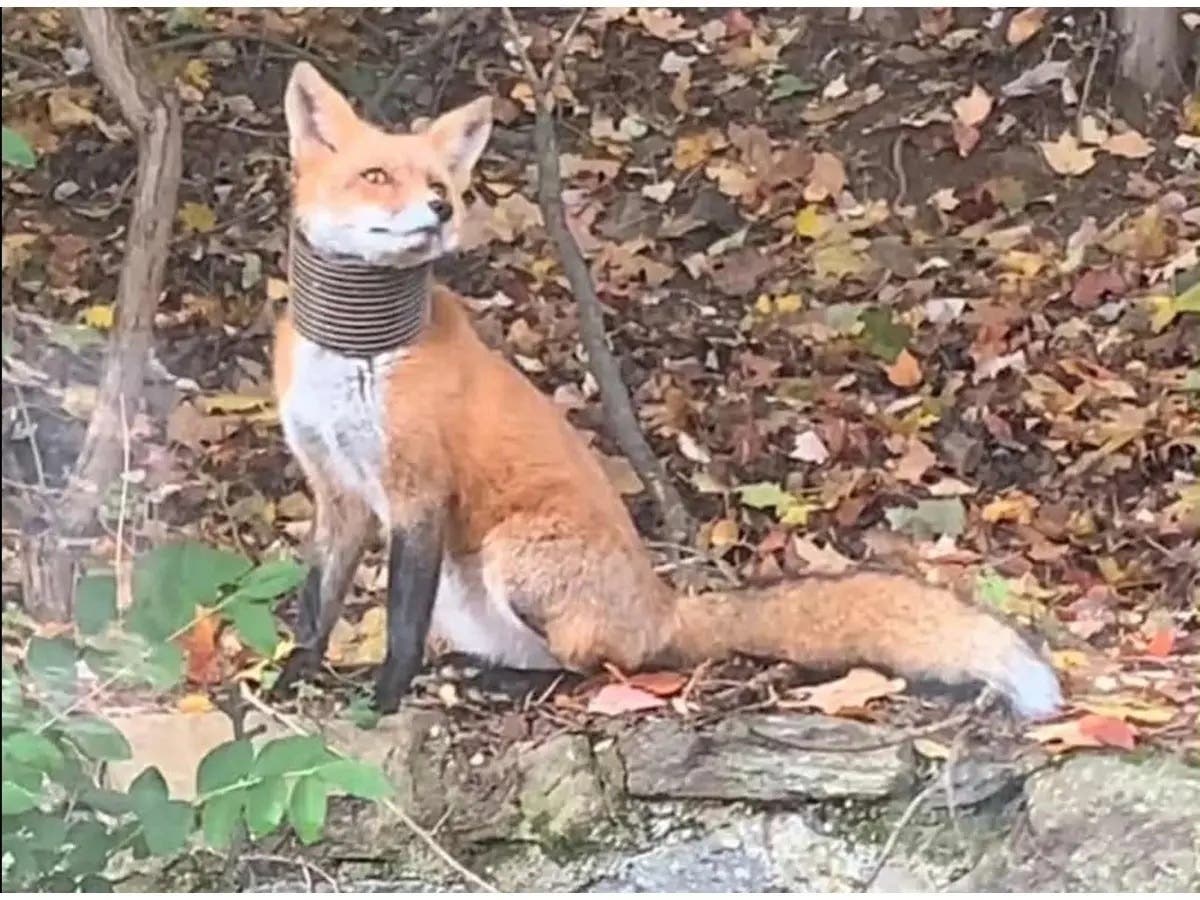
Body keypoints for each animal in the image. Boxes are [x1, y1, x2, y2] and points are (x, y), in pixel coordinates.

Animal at [269, 61, 1063, 720]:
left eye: (441, 185)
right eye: (377, 176)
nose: (439, 210)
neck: (355, 349)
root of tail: (664, 603)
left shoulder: (418, 491)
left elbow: (399, 626)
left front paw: (383, 699)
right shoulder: (336, 490)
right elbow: (317, 602)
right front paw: (293, 676)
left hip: (513, 555)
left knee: (595, 667)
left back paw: (504, 685)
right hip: (468, 598)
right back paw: (472, 673)